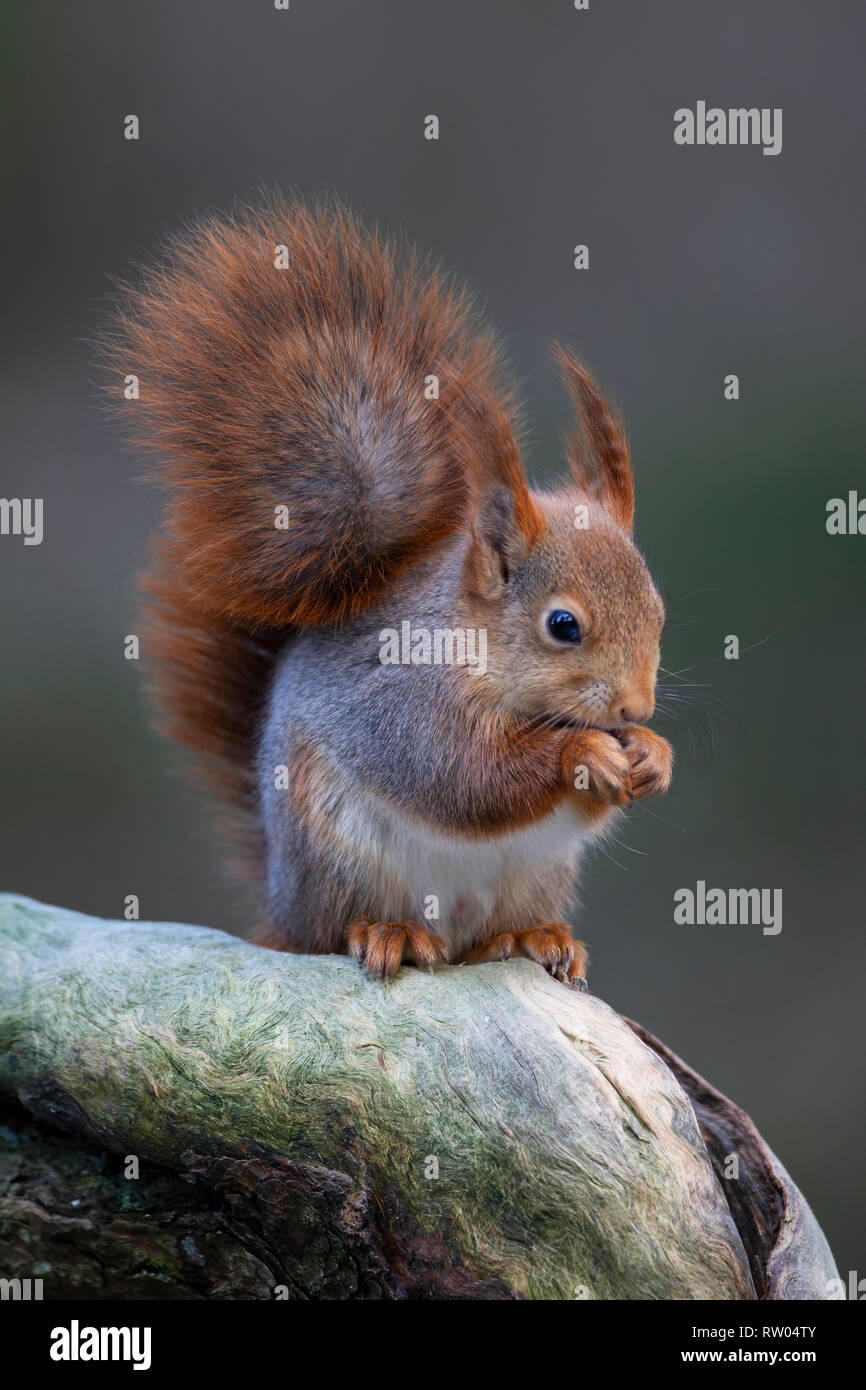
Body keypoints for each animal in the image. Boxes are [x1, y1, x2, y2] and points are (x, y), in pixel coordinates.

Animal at [108, 196, 673, 985]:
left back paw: (532, 937)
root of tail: (282, 909)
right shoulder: (405, 700)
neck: (475, 646)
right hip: (337, 855)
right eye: (563, 625)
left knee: (489, 936)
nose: (634, 708)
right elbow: (463, 778)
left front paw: (651, 752)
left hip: (536, 875)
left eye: (659, 610)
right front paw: (584, 754)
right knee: (343, 925)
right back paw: (391, 932)